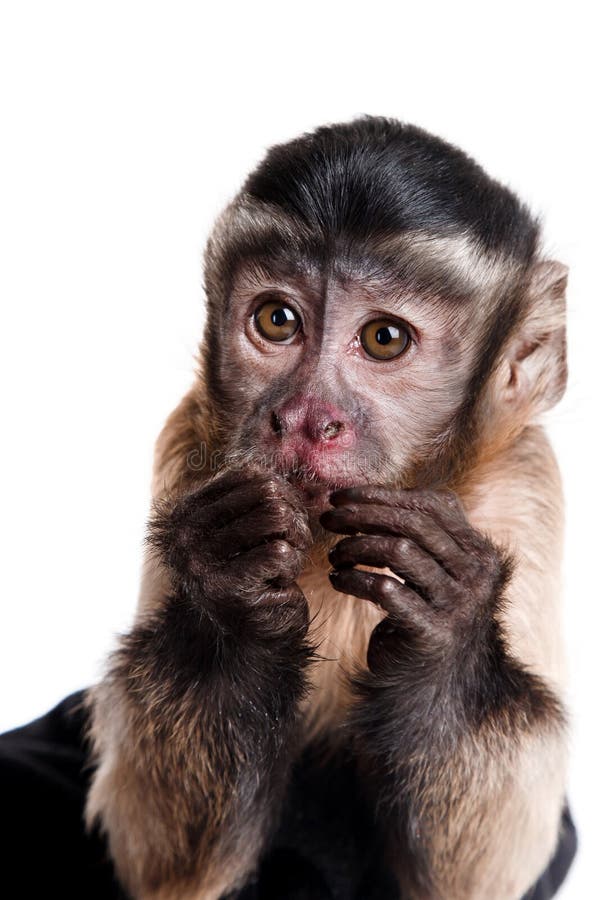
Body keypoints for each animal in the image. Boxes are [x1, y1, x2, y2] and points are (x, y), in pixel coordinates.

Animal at [0, 116, 577, 900]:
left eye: (384, 338)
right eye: (277, 321)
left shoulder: (524, 482)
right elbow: (163, 870)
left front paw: (449, 636)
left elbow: (475, 880)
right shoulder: (191, 444)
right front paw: (230, 603)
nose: (305, 417)